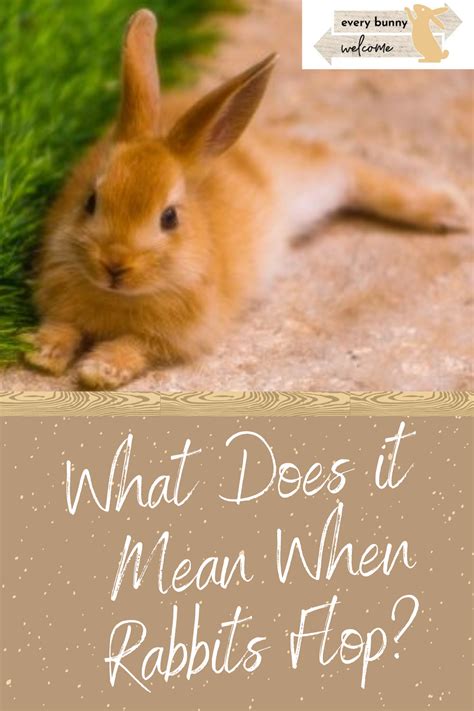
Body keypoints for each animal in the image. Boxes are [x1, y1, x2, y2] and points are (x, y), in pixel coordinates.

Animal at [25, 9, 468, 389]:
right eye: (90, 201)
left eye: (169, 218)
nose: (114, 265)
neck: (121, 296)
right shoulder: (62, 302)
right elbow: (64, 327)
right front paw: (41, 354)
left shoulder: (175, 335)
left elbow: (133, 346)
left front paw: (99, 370)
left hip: (309, 183)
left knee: (346, 167)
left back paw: (449, 212)